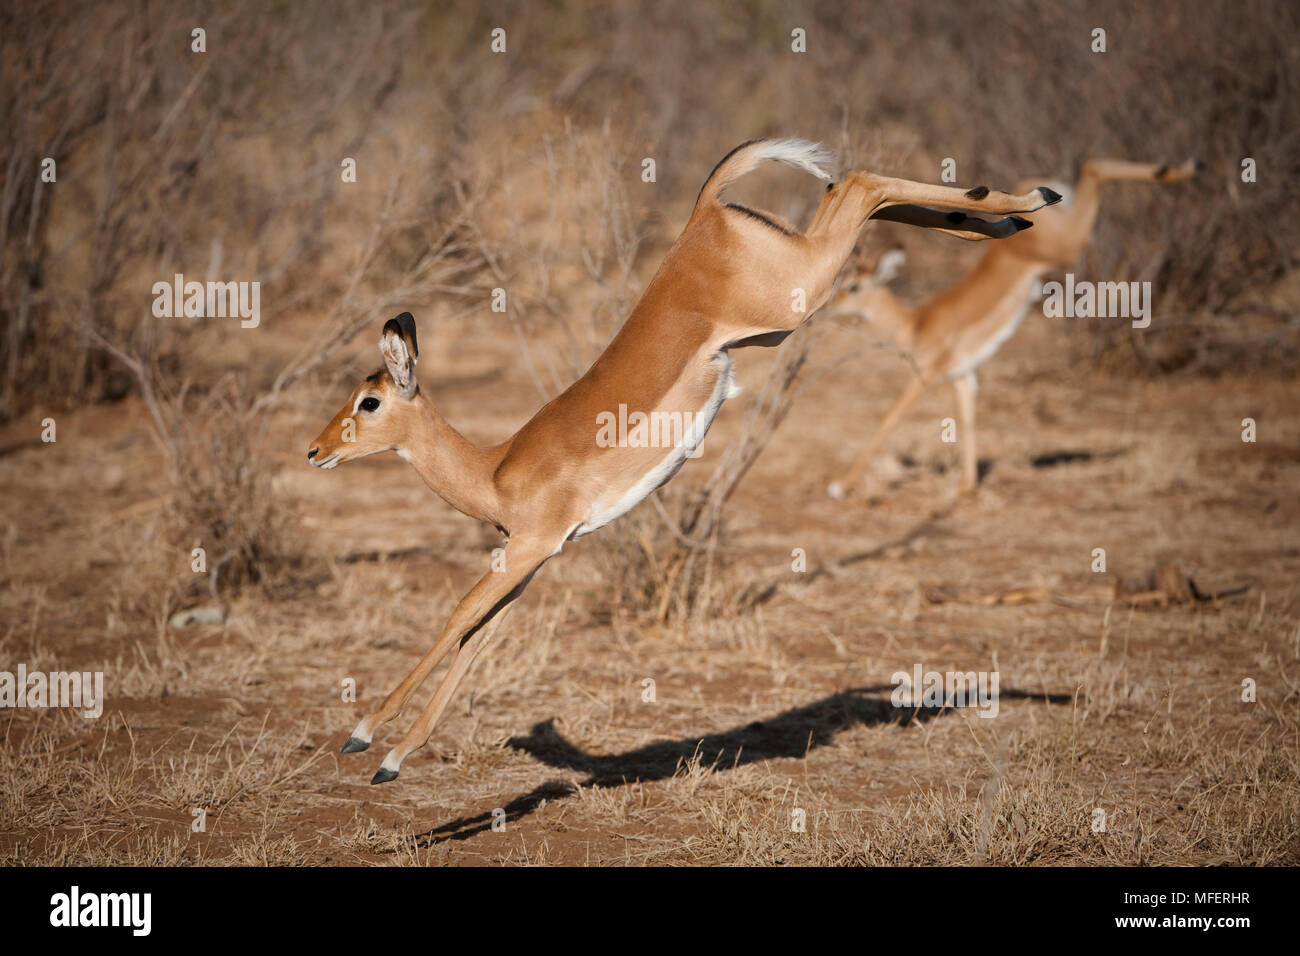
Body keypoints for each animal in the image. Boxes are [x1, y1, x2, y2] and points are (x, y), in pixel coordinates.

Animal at [307, 138, 1060, 784]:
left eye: (368, 401)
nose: (315, 450)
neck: (494, 470)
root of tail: (703, 213)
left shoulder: (525, 550)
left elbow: (454, 619)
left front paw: (365, 737)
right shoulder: (532, 562)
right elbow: (473, 642)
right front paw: (394, 759)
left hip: (798, 293)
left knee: (860, 183)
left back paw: (1037, 196)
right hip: (792, 298)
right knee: (860, 193)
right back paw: (1009, 215)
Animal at [826, 157, 1202, 500]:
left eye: (853, 287)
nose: (829, 305)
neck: (916, 324)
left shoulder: (927, 376)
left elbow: (888, 419)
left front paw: (840, 486)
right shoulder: (964, 377)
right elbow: (967, 422)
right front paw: (966, 487)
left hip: (1066, 245)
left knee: (1094, 168)